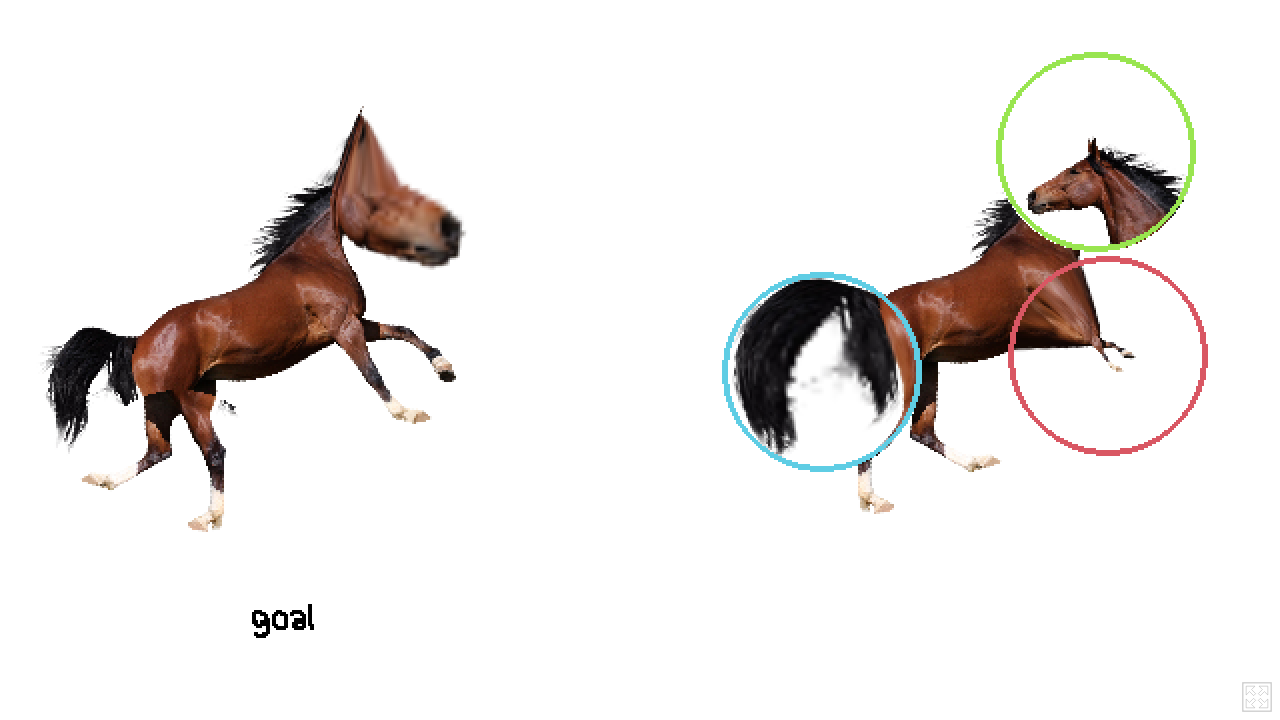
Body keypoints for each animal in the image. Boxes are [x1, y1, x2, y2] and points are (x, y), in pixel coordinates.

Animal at [47, 113, 462, 531]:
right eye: (385, 203)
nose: (452, 232)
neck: (316, 260)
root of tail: (138, 339)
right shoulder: (345, 329)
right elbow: (373, 374)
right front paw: (408, 412)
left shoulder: (354, 325)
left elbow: (405, 331)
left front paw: (445, 368)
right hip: (188, 398)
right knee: (212, 451)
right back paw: (209, 516)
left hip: (172, 400)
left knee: (159, 452)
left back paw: (105, 479)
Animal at [733, 140, 1180, 513]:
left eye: (1073, 170)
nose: (1034, 197)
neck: (1032, 248)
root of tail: (874, 307)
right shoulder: (1067, 325)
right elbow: (1099, 343)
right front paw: (1120, 365)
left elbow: (1109, 343)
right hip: (909, 380)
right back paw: (874, 500)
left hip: (929, 372)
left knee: (923, 433)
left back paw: (976, 462)